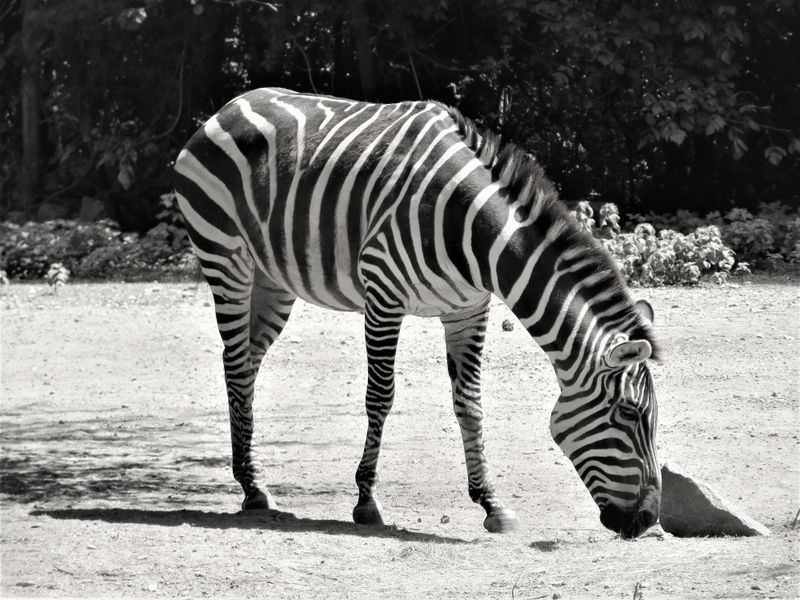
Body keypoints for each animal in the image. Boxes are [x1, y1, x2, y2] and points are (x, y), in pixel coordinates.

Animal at [173, 87, 662, 538]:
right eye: (629, 413)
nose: (647, 522)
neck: (476, 231)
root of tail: (230, 106)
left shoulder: (469, 309)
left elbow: (470, 403)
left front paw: (491, 504)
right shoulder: (383, 297)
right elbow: (380, 397)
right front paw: (366, 501)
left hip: (272, 280)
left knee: (244, 364)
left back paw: (252, 483)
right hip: (226, 258)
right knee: (237, 364)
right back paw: (252, 488)